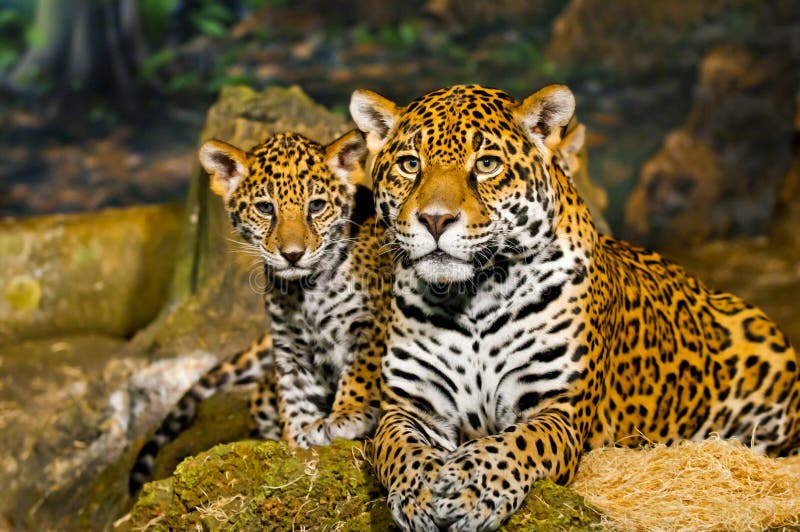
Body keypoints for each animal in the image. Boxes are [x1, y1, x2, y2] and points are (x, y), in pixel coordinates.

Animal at [129, 130, 391, 494]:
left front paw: (347, 415)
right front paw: (297, 440)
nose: (293, 254)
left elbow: (361, 371)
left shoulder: (372, 324)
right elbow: (295, 395)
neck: (305, 292)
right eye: (266, 208)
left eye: (316, 206)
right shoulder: (291, 347)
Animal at [349, 84, 800, 531]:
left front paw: (469, 487)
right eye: (409, 165)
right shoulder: (410, 408)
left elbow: (511, 445)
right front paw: (420, 494)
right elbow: (400, 450)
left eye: (488, 164)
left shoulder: (557, 410)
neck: (473, 297)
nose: (435, 220)